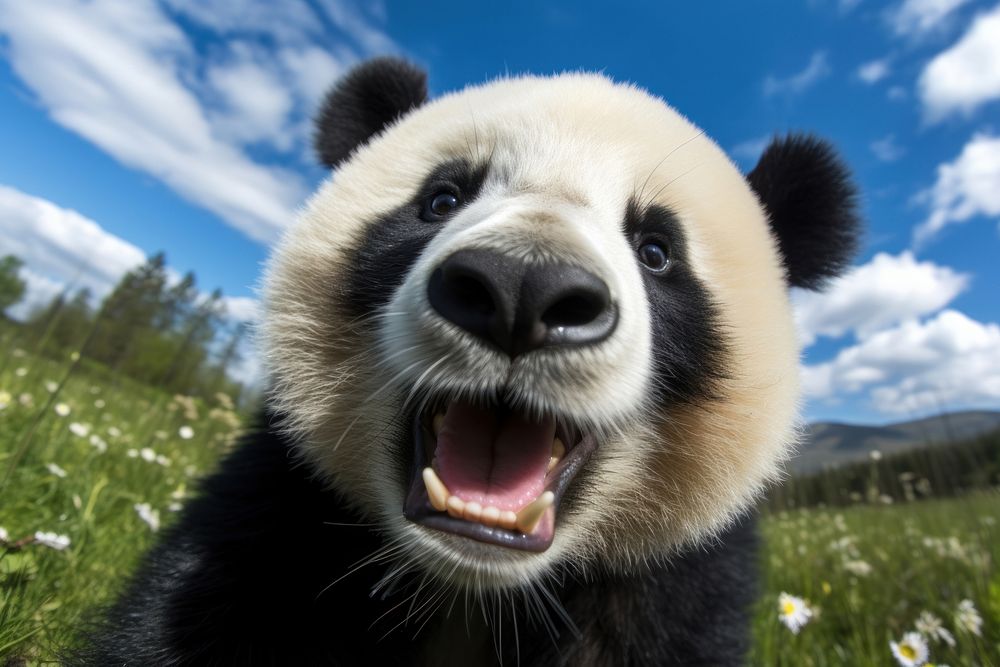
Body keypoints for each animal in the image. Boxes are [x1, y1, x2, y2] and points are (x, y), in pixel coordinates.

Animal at [80, 58, 858, 665]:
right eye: (442, 197)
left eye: (657, 250)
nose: (521, 288)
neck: (469, 583)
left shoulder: (671, 590)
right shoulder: (278, 512)